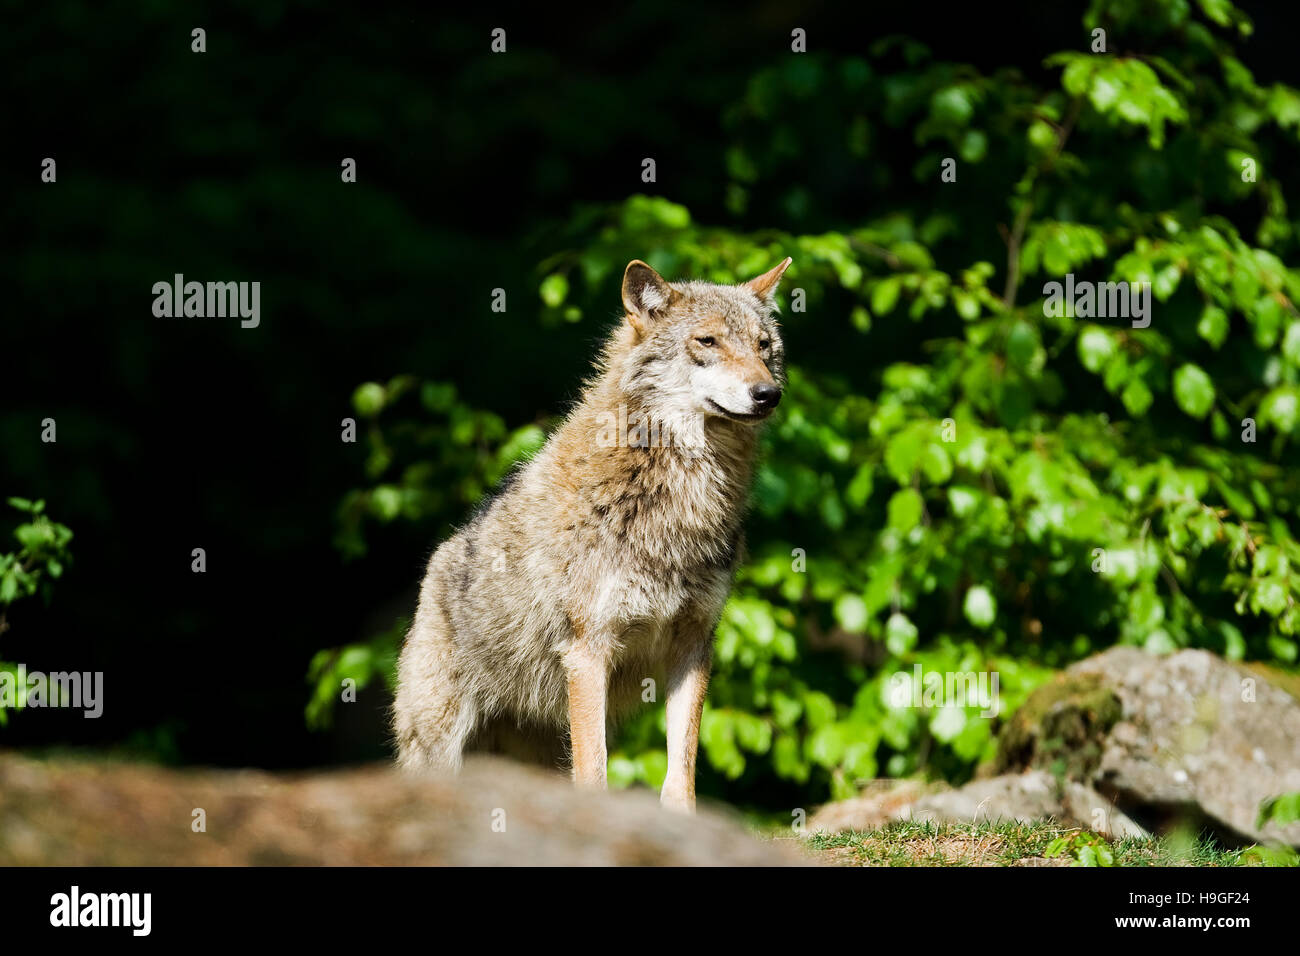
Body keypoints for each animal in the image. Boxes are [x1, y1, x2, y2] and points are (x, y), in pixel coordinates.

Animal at [390, 257, 785, 811]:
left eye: (763, 345)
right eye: (707, 341)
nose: (768, 393)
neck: (679, 495)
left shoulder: (693, 645)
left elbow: (681, 769)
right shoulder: (588, 650)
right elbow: (595, 771)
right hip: (440, 747)